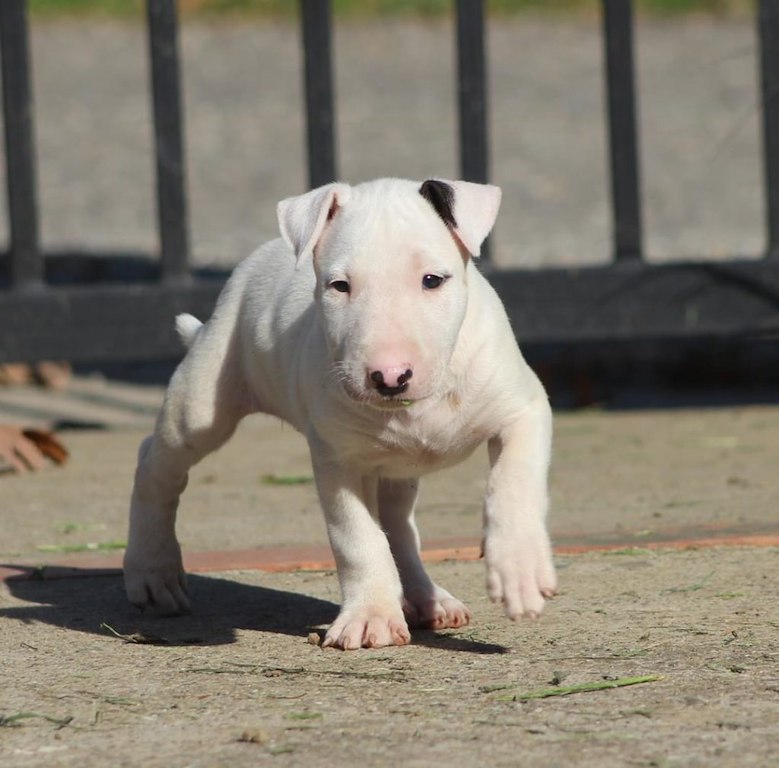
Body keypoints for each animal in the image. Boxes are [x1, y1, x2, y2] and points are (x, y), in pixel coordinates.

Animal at [125, 178, 556, 648]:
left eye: (432, 280)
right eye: (339, 286)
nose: (389, 376)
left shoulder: (523, 409)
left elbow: (511, 484)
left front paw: (519, 573)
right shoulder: (338, 459)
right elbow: (357, 537)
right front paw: (370, 616)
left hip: (397, 471)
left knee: (398, 525)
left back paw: (428, 599)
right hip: (202, 404)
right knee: (155, 463)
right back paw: (152, 572)